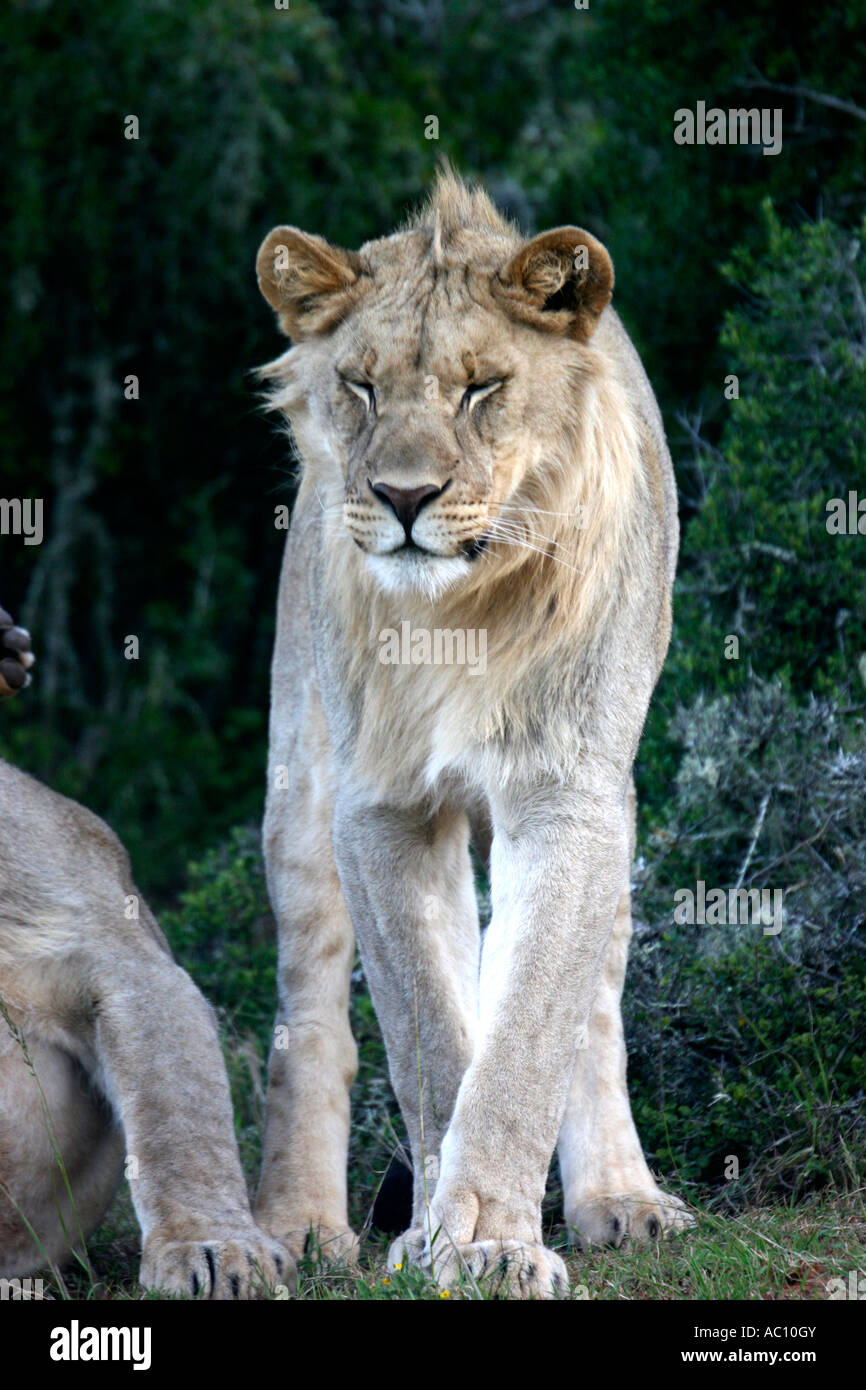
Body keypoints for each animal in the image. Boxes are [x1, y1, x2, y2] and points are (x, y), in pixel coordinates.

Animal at [253, 170, 691, 1297]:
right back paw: (293, 1225)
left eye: (481, 387)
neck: (457, 616)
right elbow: (429, 1038)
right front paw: (454, 1235)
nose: (404, 496)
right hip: (299, 791)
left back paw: (621, 1199)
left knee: (589, 1002)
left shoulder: (571, 794)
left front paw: (490, 1239)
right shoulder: (380, 804)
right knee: (309, 1011)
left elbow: (530, 1028)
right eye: (360, 386)